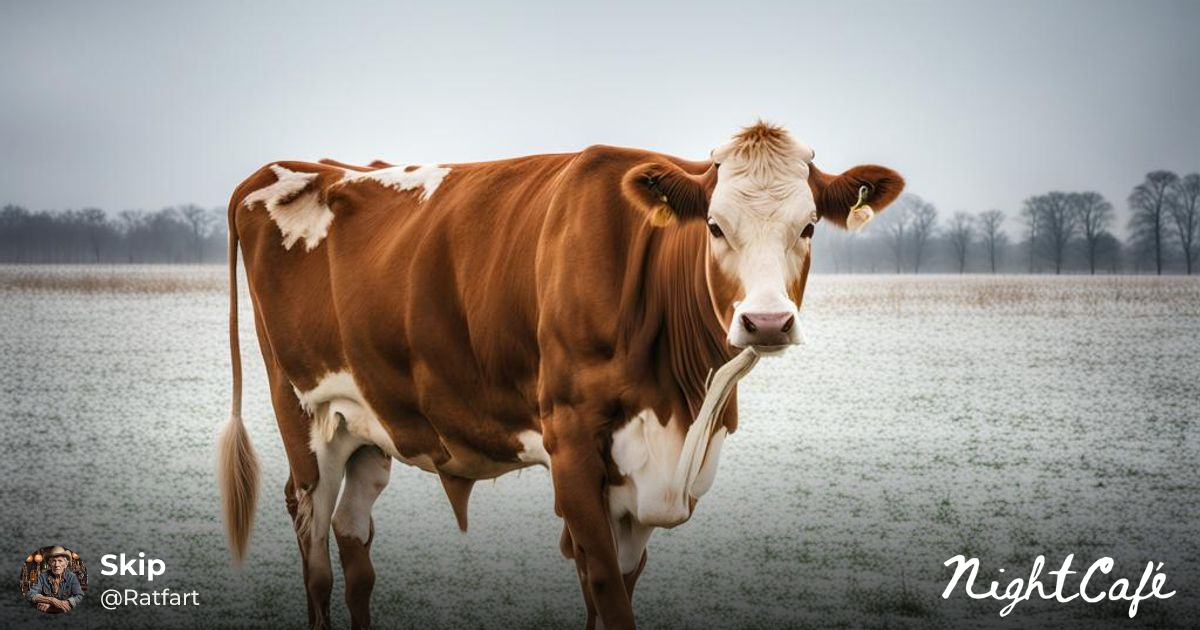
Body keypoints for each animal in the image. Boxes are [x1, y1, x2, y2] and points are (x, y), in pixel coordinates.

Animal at [218, 121, 903, 629]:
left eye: (808, 227)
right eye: (714, 225)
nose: (766, 321)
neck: (683, 409)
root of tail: (286, 168)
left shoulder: (637, 479)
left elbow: (614, 588)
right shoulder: (571, 445)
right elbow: (606, 590)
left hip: (368, 425)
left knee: (354, 545)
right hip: (304, 417)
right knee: (316, 557)